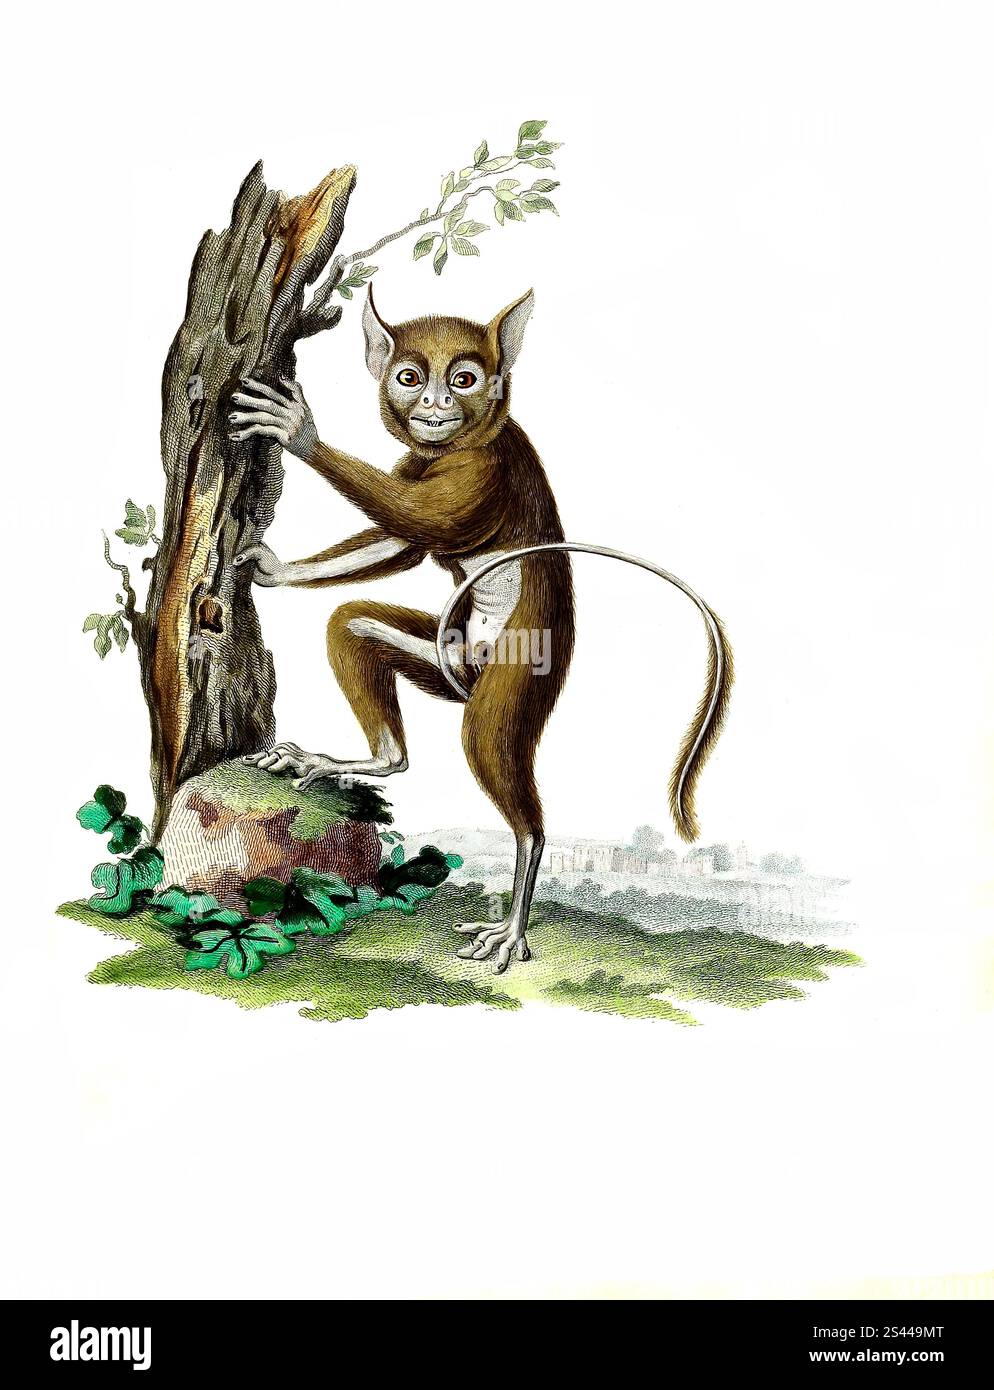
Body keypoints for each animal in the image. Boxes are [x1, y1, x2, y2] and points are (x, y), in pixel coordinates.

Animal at [229, 287, 732, 973]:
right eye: (409, 377)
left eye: (463, 379)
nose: (435, 407)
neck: (457, 445)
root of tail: (470, 672)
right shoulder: (418, 460)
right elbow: (402, 543)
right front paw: (274, 570)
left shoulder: (483, 473)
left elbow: (422, 522)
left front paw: (299, 429)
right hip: (448, 661)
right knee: (352, 627)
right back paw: (358, 759)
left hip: (521, 674)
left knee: (491, 750)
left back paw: (514, 924)